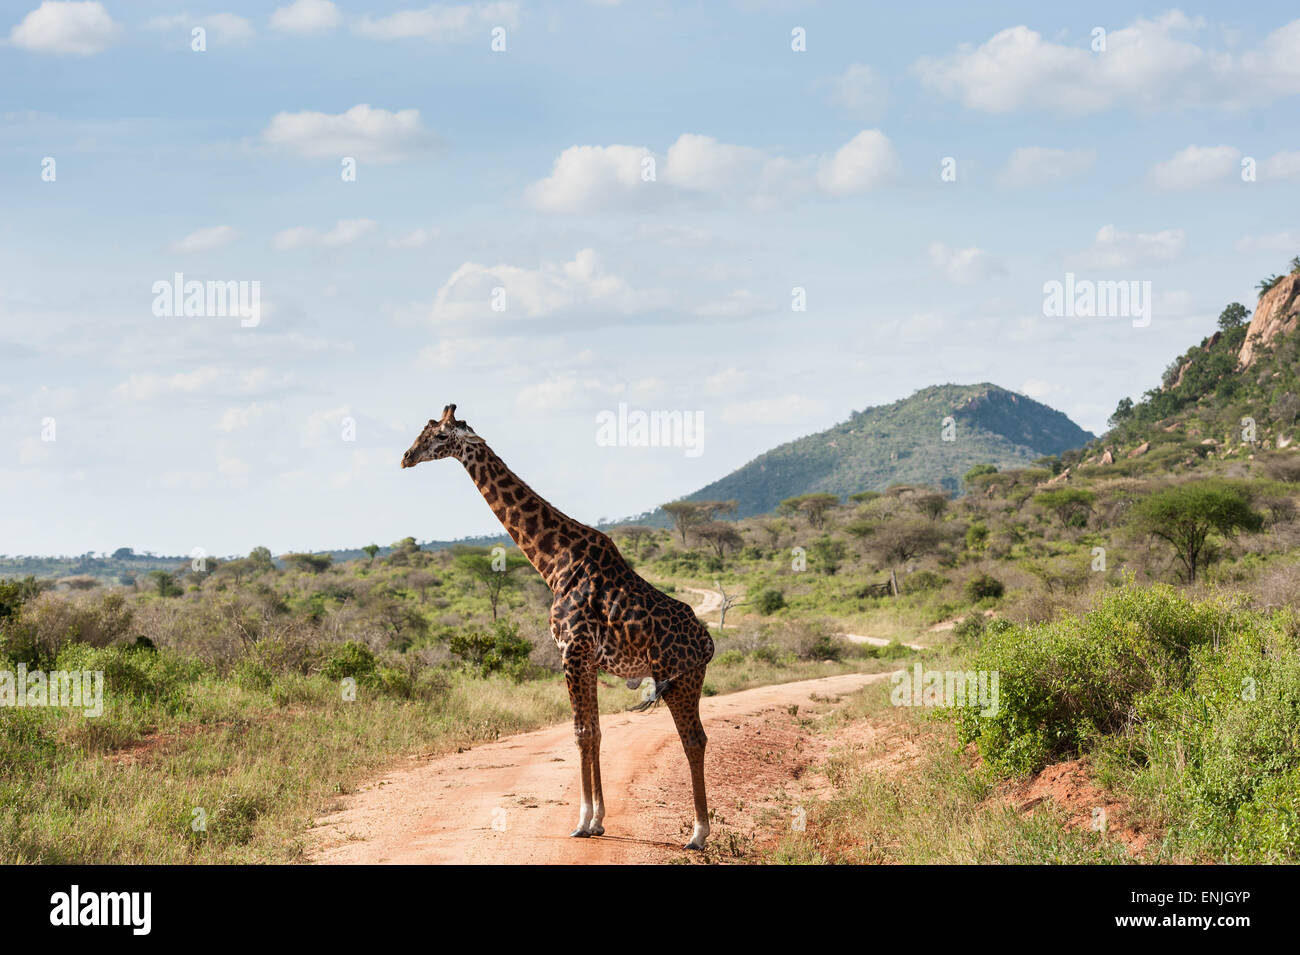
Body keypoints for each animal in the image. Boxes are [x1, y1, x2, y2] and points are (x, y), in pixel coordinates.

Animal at [401, 405, 716, 849]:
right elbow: (596, 732)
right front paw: (598, 820)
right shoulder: (587, 660)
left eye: (441, 437)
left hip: (678, 680)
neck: (553, 563)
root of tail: (707, 642)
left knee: (693, 739)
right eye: (424, 431)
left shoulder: (572, 650)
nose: (406, 457)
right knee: (695, 738)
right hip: (689, 680)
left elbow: (580, 732)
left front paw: (582, 823)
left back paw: (698, 834)